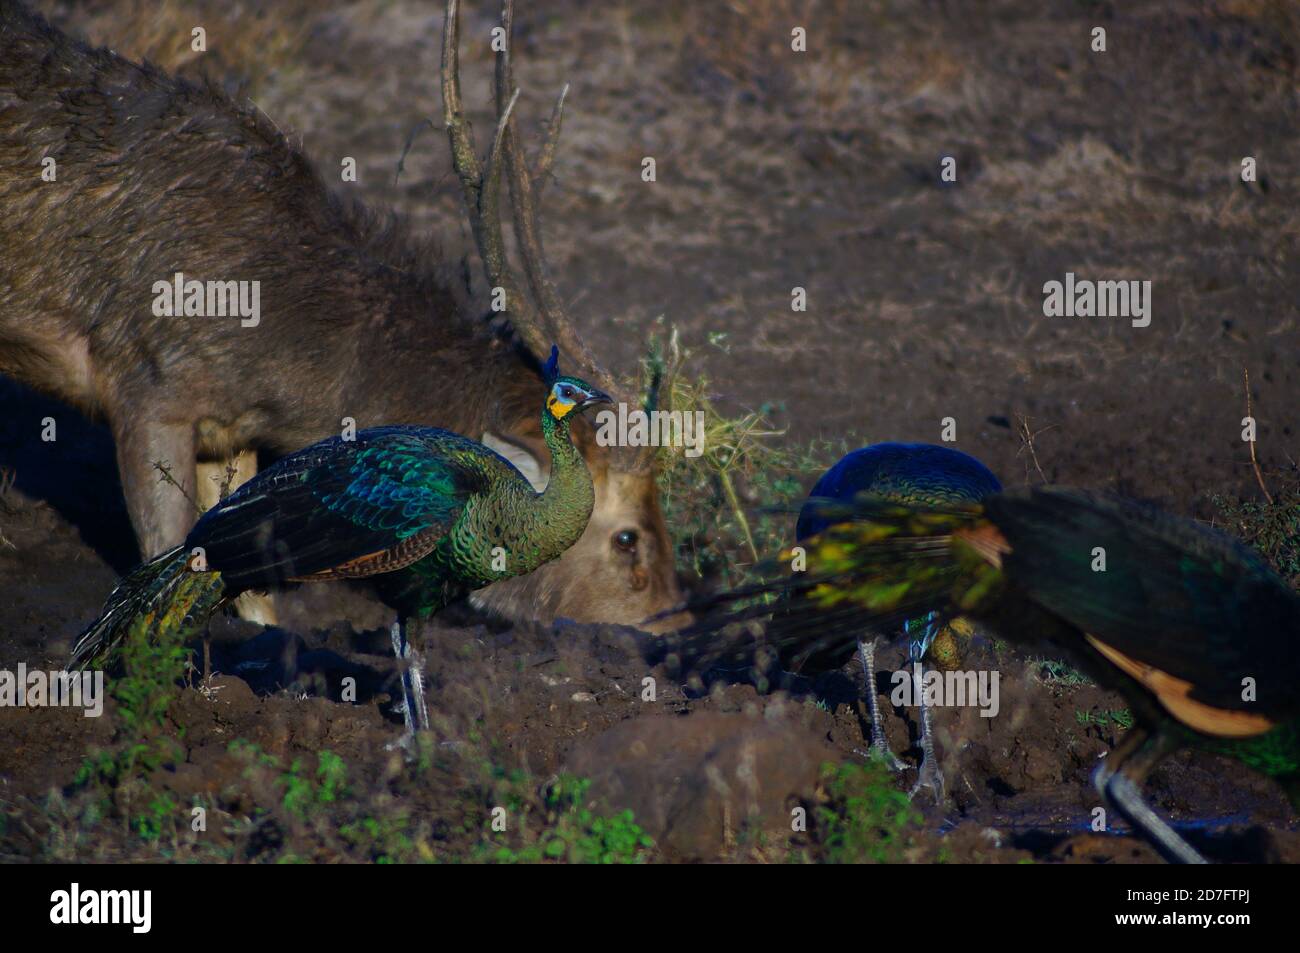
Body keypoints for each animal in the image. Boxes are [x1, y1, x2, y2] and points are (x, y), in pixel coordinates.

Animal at [0, 0, 685, 632]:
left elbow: (254, 601)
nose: (671, 625)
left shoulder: (231, 438)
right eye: (628, 539)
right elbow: (160, 571)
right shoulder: (148, 389)